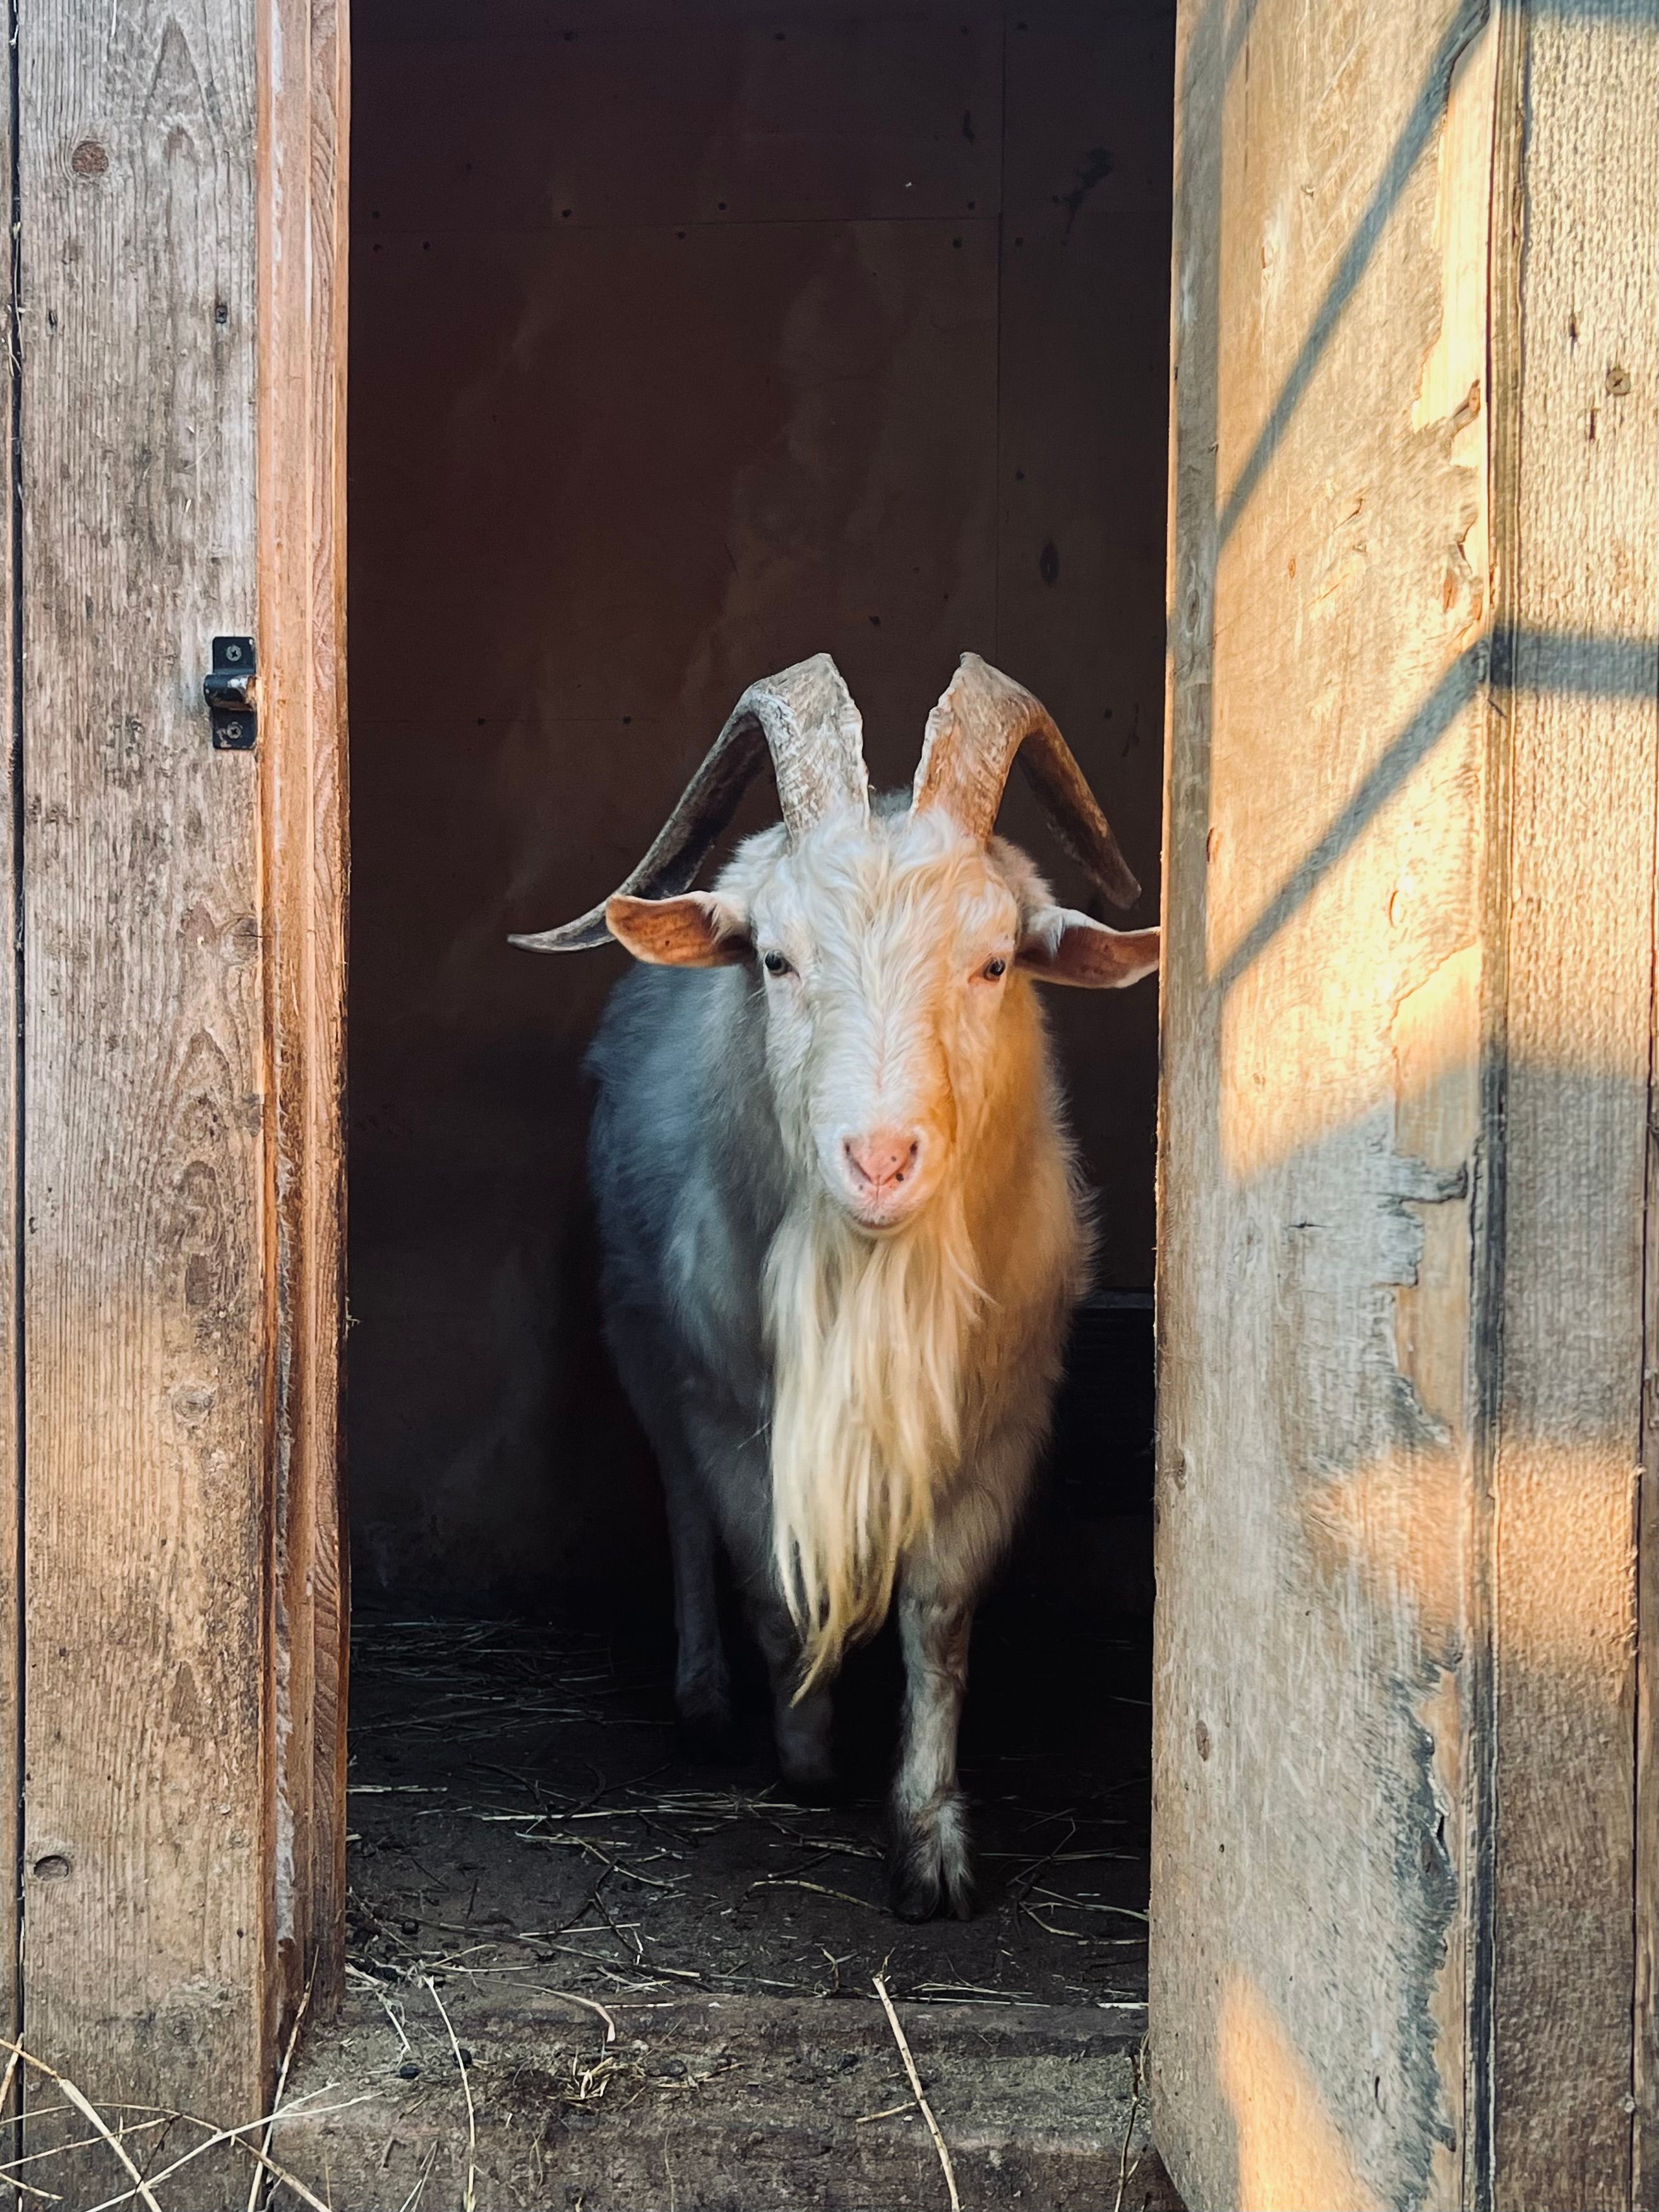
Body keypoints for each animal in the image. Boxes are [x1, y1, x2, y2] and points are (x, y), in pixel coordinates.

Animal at [514, 653, 1158, 1918]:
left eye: (993, 961)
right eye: (776, 958)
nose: (879, 1159)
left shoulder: (999, 1418)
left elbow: (939, 1610)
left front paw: (930, 1844)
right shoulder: (730, 1407)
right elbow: (771, 1575)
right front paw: (808, 1754)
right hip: (637, 1333)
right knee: (677, 1505)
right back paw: (705, 1698)